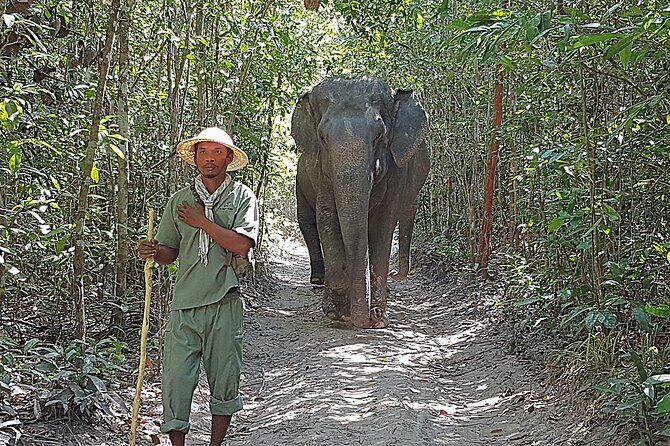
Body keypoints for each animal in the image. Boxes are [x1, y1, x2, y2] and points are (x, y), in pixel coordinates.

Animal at [291, 76, 430, 329]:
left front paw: (379, 317)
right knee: (306, 222)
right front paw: (337, 312)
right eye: (322, 138)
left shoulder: (397, 171)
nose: (368, 318)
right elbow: (327, 220)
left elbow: (382, 228)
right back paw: (318, 281)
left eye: (379, 135)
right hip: (300, 181)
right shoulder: (320, 173)